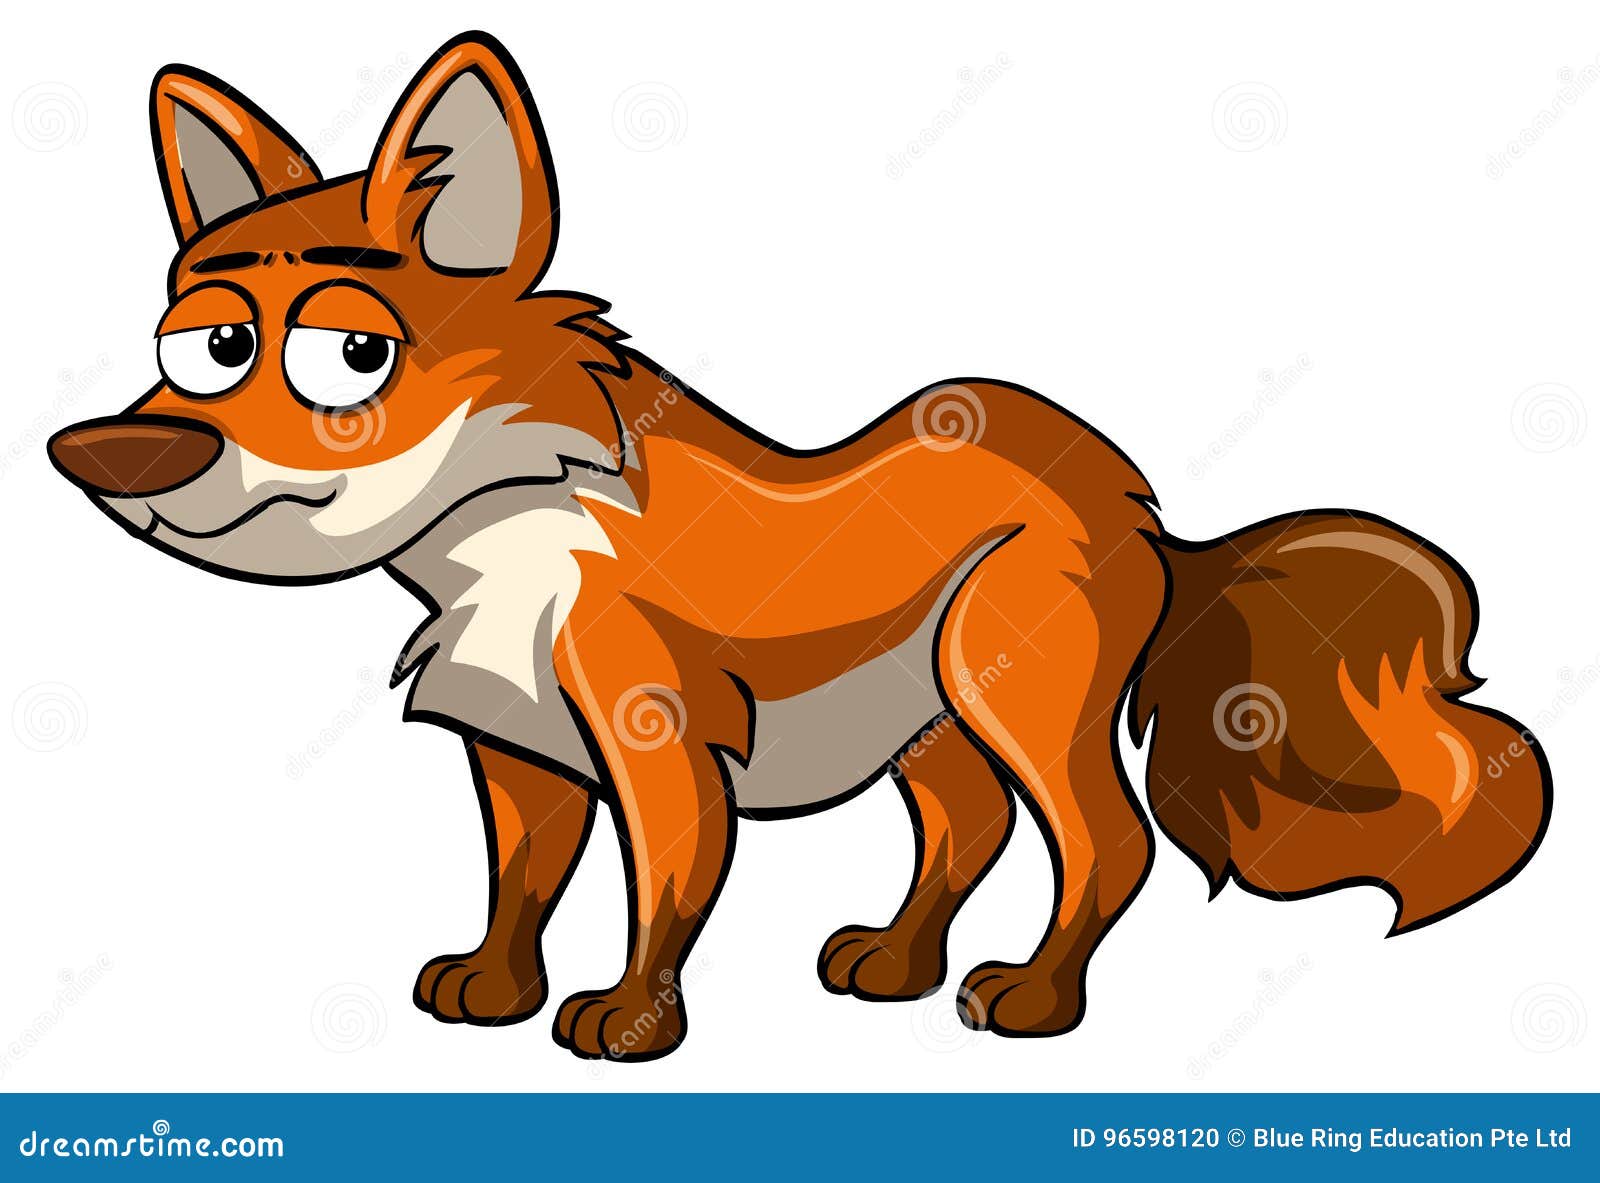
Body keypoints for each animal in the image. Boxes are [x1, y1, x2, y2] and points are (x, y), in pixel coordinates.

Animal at [48, 31, 1551, 1061]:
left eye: (347, 358)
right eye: (201, 347)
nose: (99, 456)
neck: (509, 533)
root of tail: (1150, 517)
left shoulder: (654, 735)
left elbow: (661, 893)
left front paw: (627, 1024)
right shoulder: (521, 740)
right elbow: (523, 879)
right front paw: (493, 990)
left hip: (1013, 684)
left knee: (1103, 843)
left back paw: (1032, 1001)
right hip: (934, 715)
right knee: (969, 826)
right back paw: (897, 964)